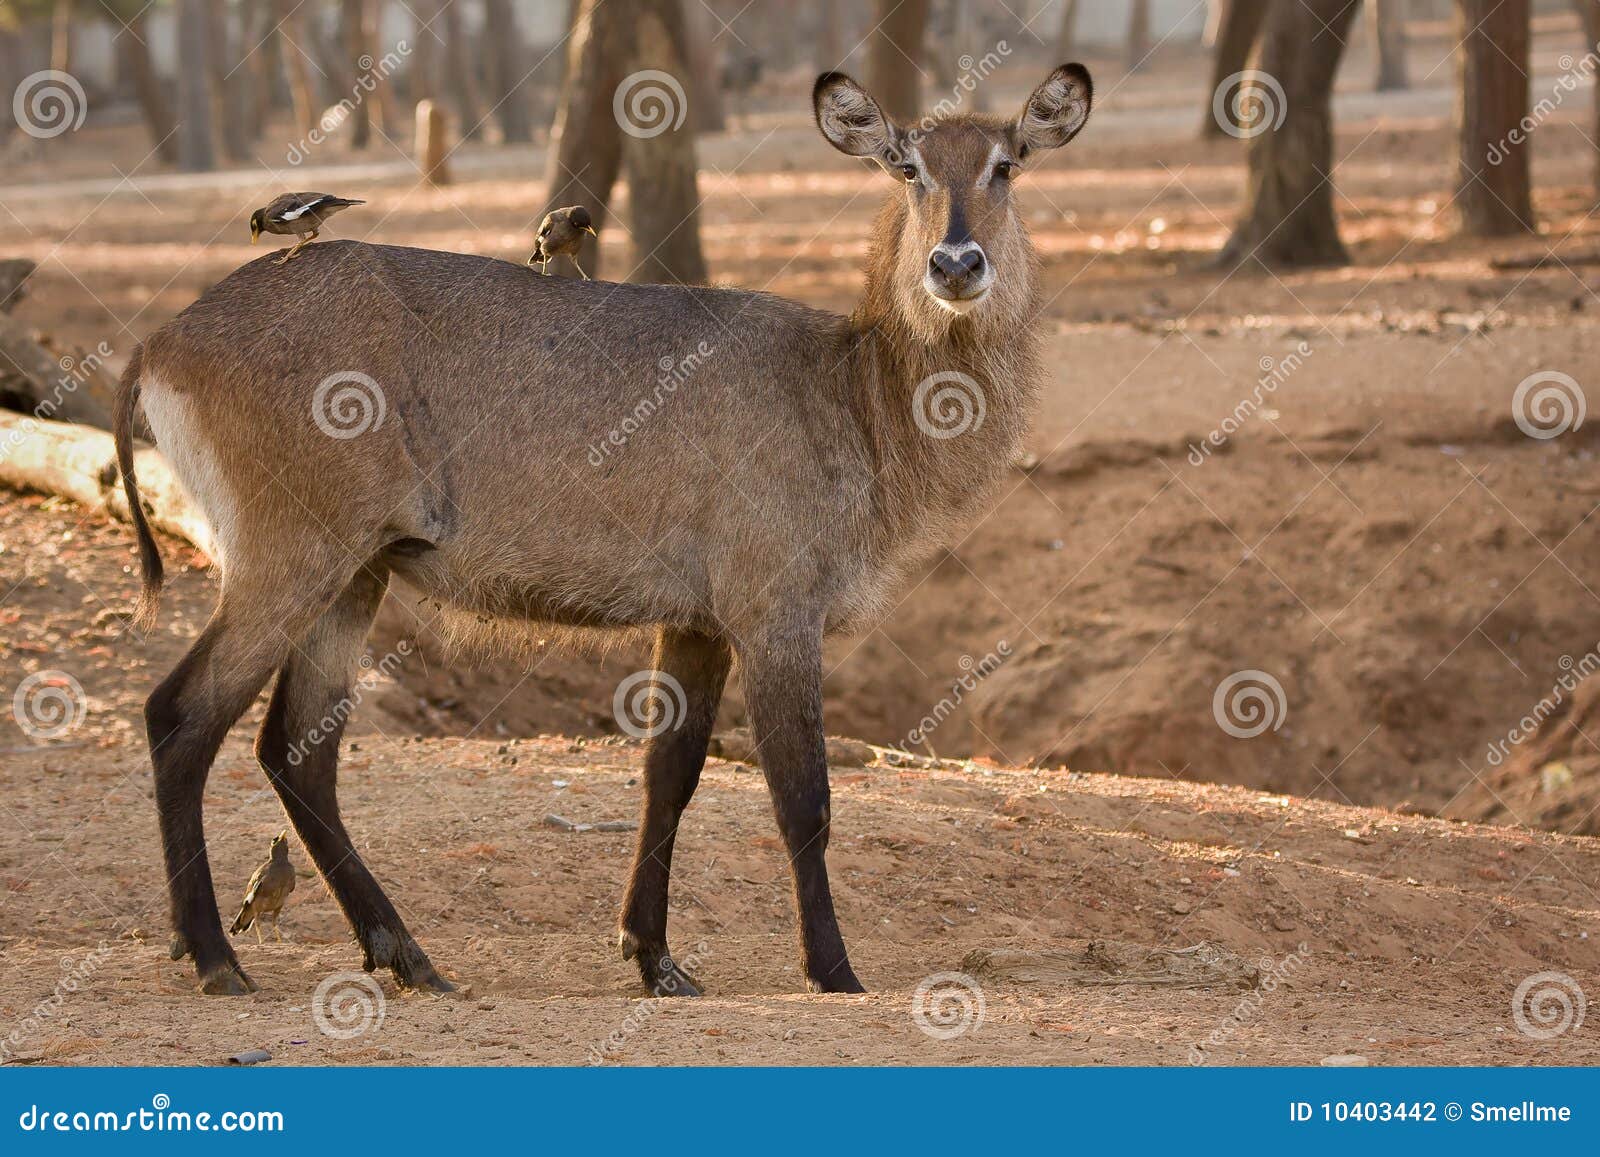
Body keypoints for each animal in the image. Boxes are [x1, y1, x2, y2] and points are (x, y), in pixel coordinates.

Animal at [114, 65, 1092, 996]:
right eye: (908, 166)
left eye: (1007, 165)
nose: (956, 264)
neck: (854, 391)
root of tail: (158, 342)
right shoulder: (776, 610)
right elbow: (803, 796)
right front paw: (833, 970)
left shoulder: (697, 620)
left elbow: (671, 778)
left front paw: (654, 958)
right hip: (292, 556)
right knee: (181, 715)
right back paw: (216, 956)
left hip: (358, 571)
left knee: (296, 748)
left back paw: (408, 956)